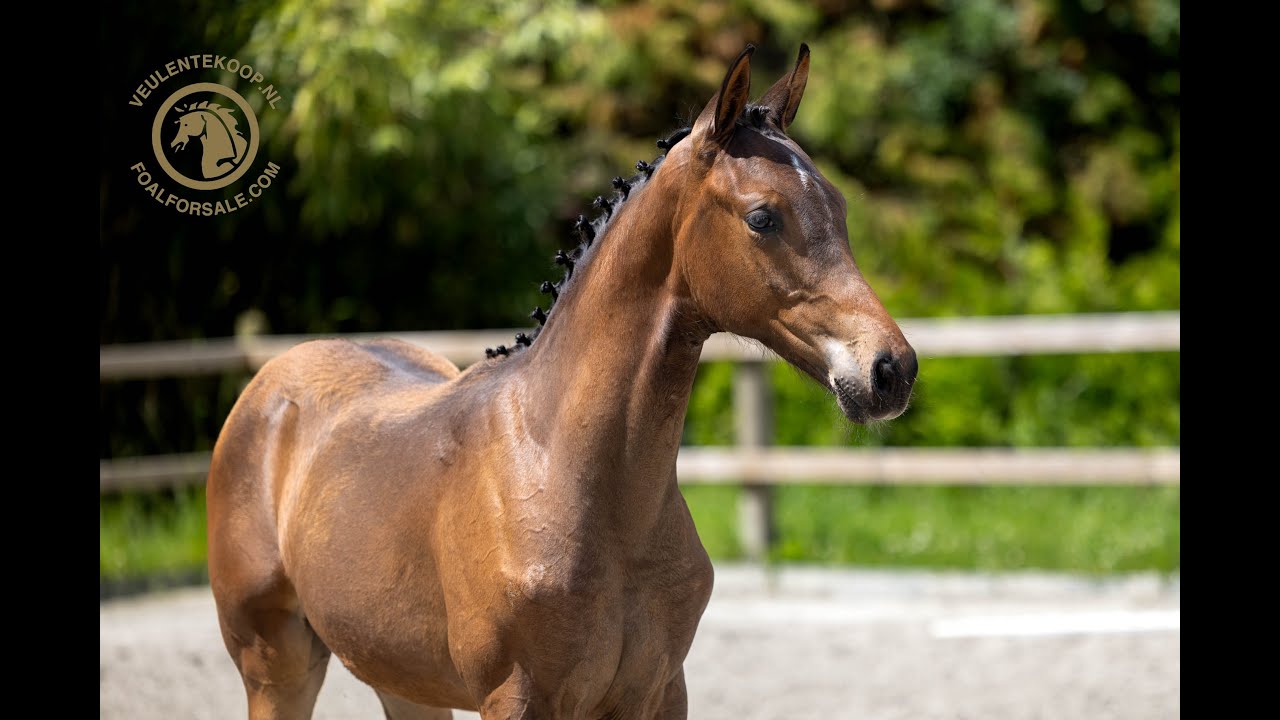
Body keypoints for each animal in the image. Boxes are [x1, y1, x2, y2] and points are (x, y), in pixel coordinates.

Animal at [207, 44, 917, 720]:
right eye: (763, 217)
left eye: (840, 207)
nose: (891, 370)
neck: (571, 475)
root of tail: (271, 382)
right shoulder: (517, 697)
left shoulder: (660, 692)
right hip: (276, 667)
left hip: (402, 678)